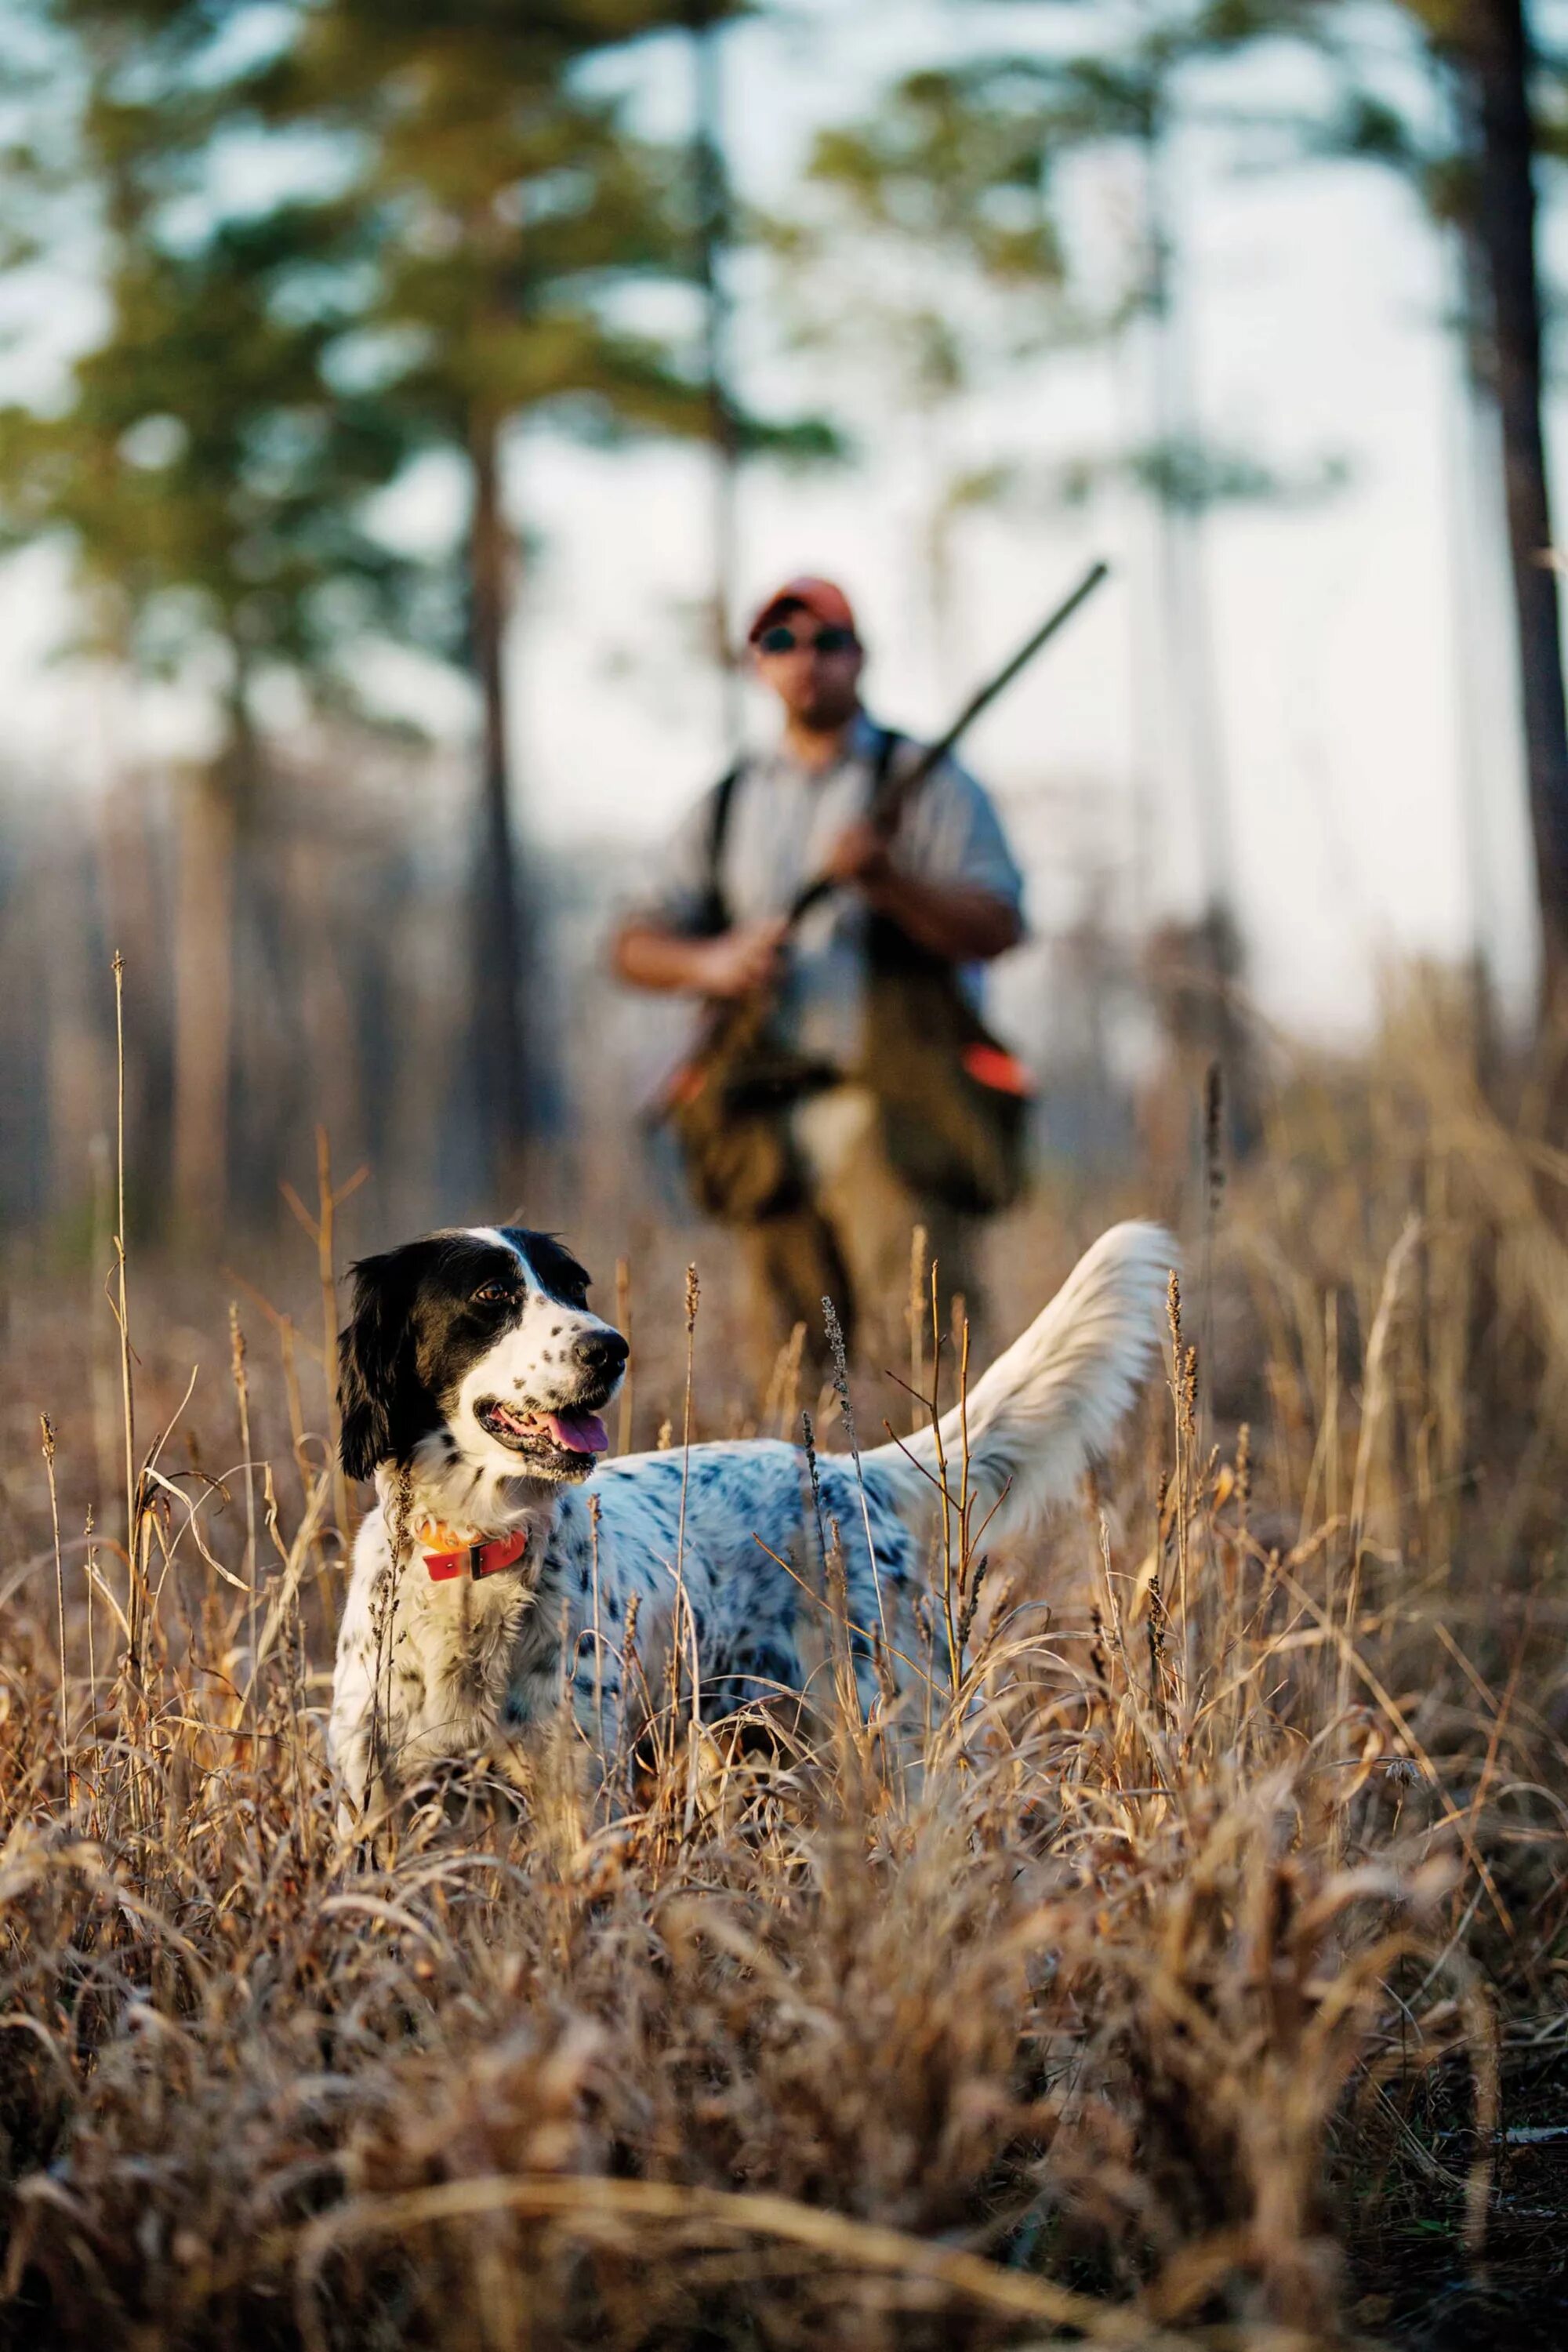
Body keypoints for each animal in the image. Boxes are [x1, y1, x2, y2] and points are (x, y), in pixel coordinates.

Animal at [328, 1223, 1175, 1806]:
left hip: (890, 1730)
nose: (611, 1348)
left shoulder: (579, 1786)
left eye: (575, 1289)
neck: (475, 1550)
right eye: (491, 1296)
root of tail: (849, 1473)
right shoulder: (371, 1800)